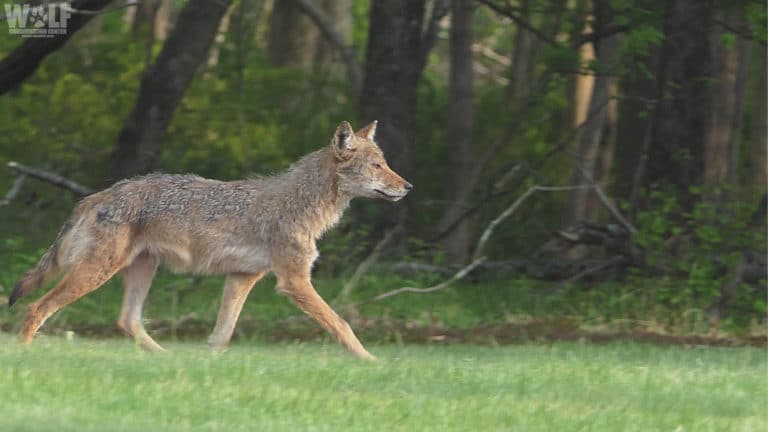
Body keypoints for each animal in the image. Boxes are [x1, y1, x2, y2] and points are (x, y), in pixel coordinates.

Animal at [9, 120, 411, 360]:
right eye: (378, 166)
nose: (408, 187)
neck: (301, 205)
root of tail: (95, 196)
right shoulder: (294, 282)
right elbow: (342, 325)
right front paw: (372, 362)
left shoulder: (242, 278)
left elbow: (222, 335)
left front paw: (209, 367)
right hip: (96, 273)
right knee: (37, 308)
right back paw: (23, 354)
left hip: (139, 271)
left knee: (127, 321)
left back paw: (167, 360)